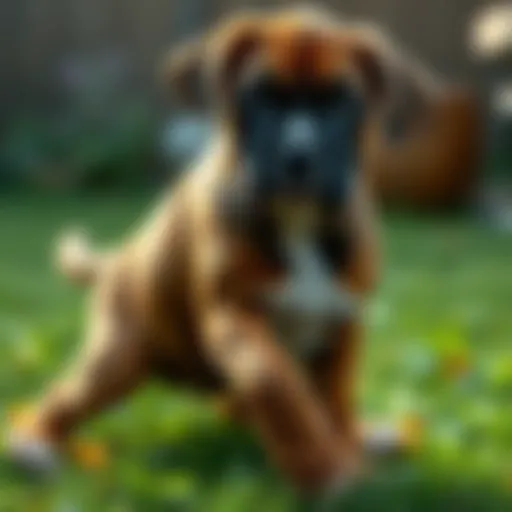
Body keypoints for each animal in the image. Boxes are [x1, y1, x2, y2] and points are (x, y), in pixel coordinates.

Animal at [9, 7, 428, 492]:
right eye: (263, 97)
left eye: (339, 102)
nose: (298, 158)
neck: (297, 220)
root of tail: (121, 258)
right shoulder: (234, 314)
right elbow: (274, 383)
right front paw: (326, 469)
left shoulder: (342, 322)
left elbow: (333, 401)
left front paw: (345, 453)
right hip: (115, 358)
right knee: (59, 401)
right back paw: (33, 445)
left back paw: (367, 434)